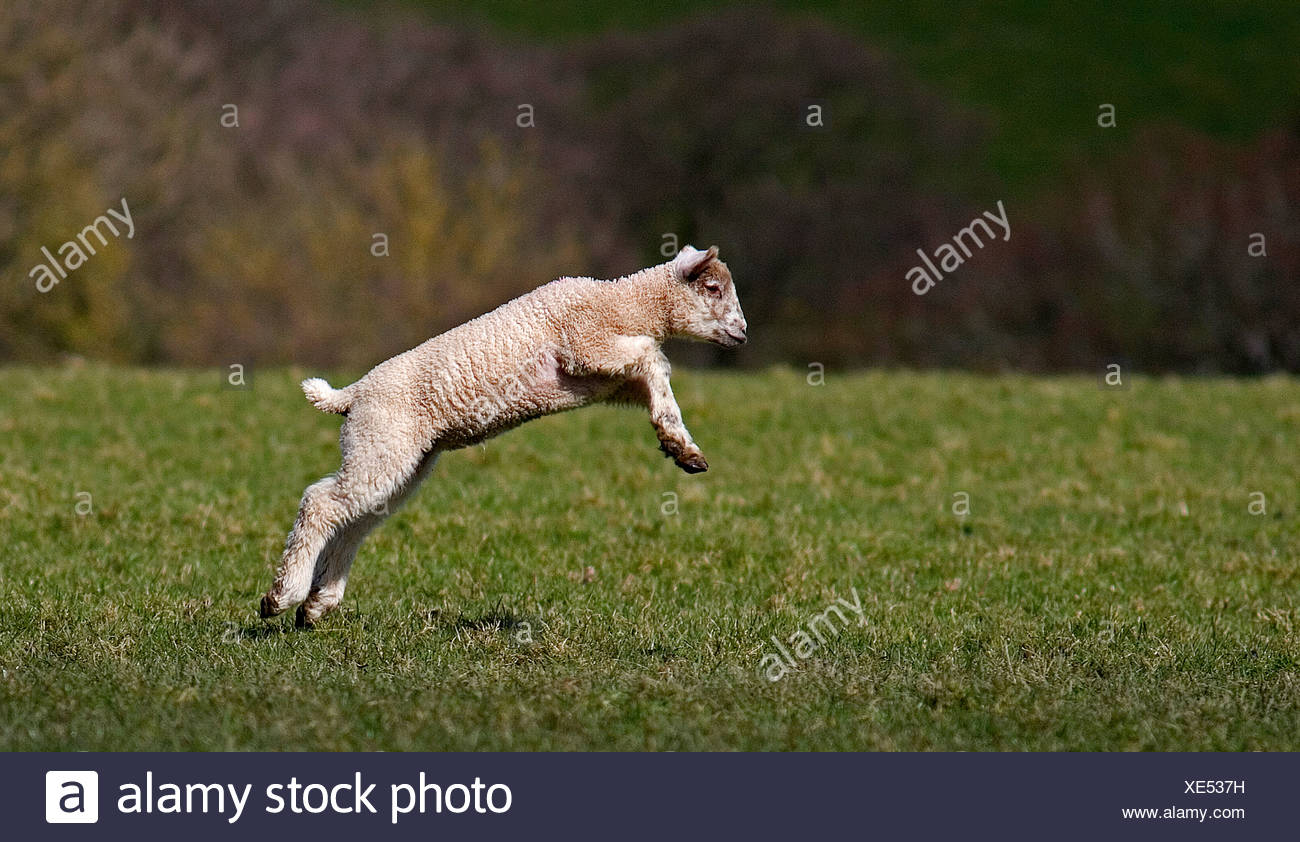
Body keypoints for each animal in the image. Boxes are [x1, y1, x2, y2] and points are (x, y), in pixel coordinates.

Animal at [260, 245, 747, 626]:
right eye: (712, 289)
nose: (742, 333)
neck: (621, 303)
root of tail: (352, 393)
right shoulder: (587, 343)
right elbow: (654, 356)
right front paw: (680, 443)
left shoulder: (610, 378)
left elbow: (654, 376)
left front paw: (681, 448)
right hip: (381, 440)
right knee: (321, 503)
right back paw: (281, 597)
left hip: (397, 455)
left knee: (355, 520)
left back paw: (316, 605)